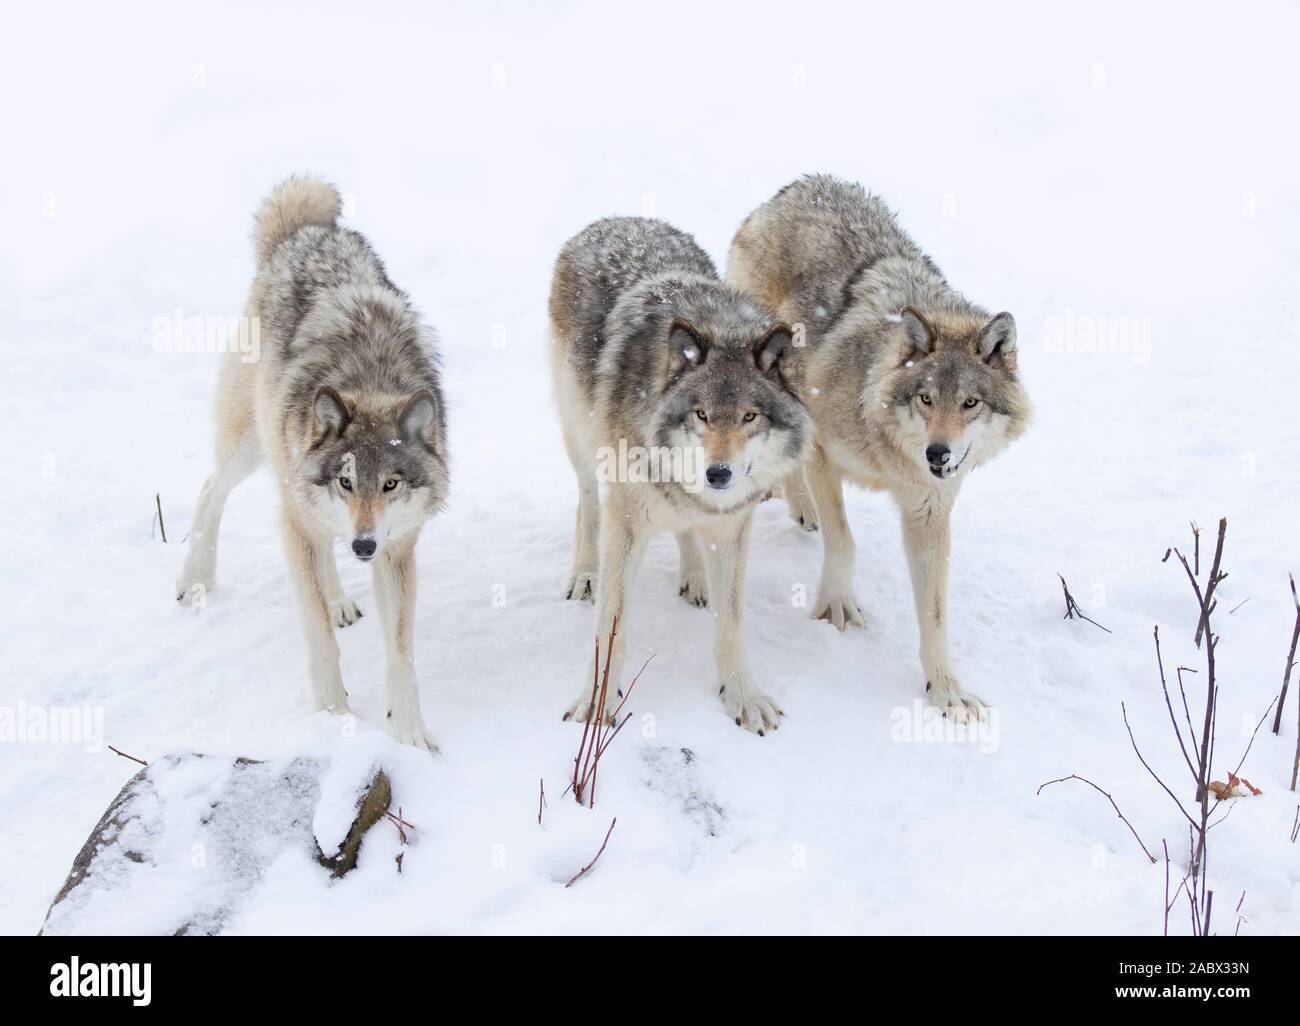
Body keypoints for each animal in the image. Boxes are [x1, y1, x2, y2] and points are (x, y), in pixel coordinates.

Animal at [175, 176, 449, 750]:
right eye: (346, 481)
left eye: (390, 484)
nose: (363, 545)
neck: (369, 377)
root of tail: (303, 230)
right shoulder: (296, 523)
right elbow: (318, 636)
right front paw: (332, 717)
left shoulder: (397, 550)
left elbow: (401, 656)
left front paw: (410, 735)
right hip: (253, 449)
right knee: (211, 486)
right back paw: (195, 578)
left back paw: (341, 599)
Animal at [550, 217, 812, 733]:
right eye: (701, 414)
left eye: (749, 417)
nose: (718, 474)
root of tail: (618, 219)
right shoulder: (626, 524)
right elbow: (612, 628)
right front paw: (596, 703)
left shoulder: (731, 527)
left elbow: (731, 623)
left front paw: (742, 696)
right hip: (581, 437)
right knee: (587, 502)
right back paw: (585, 573)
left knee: (686, 532)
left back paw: (694, 577)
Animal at [728, 175, 1032, 721]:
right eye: (926, 398)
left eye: (970, 403)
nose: (938, 455)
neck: (888, 450)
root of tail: (799, 184)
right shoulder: (824, 451)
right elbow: (844, 540)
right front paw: (836, 607)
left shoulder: (930, 510)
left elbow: (935, 614)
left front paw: (946, 690)